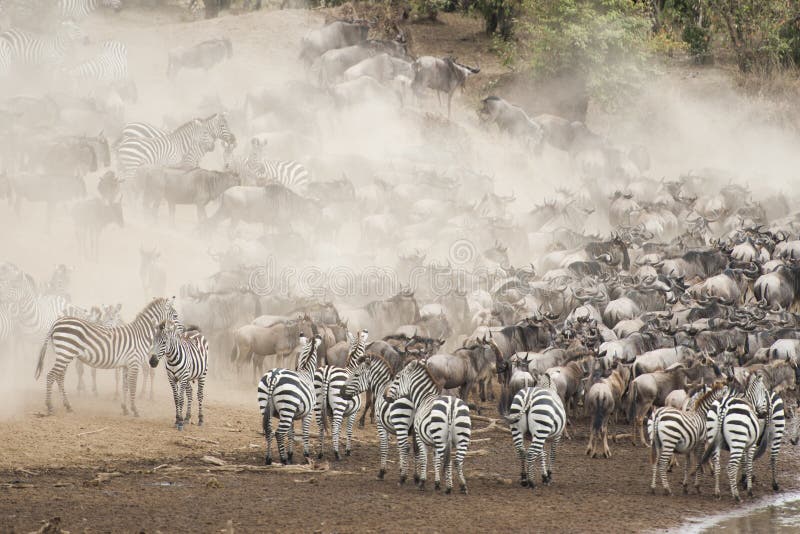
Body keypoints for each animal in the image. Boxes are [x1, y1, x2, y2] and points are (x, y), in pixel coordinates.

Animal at [36, 297, 177, 416]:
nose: (180, 330)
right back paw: (49, 406)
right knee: (51, 376)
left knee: (59, 377)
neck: (141, 334)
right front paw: (135, 410)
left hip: (64, 355)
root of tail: (57, 321)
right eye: (175, 315)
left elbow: (125, 386)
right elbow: (132, 386)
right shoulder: (134, 362)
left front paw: (125, 409)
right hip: (65, 354)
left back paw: (68, 406)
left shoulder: (126, 365)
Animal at [257, 335, 321, 465]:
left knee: (269, 431)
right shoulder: (308, 412)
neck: (306, 372)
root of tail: (274, 376)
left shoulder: (293, 414)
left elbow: (291, 433)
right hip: (287, 407)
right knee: (279, 433)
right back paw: (283, 460)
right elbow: (305, 432)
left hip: (268, 406)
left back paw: (269, 459)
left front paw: (290, 454)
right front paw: (306, 455)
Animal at [313, 329, 368, 460]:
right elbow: (348, 431)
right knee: (334, 428)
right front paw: (347, 450)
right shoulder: (353, 412)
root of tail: (327, 372)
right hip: (339, 405)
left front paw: (334, 446)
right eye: (365, 347)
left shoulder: (330, 413)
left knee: (321, 427)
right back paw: (337, 455)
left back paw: (321, 453)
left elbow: (336, 430)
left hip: (318, 404)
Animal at [386, 359, 472, 494]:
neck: (423, 397)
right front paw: (437, 482)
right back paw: (462, 486)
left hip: (441, 438)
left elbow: (424, 458)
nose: (385, 397)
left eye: (397, 377)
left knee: (444, 460)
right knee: (457, 461)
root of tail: (451, 405)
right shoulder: (434, 442)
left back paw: (448, 487)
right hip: (462, 437)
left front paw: (423, 482)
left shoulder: (420, 437)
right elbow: (435, 459)